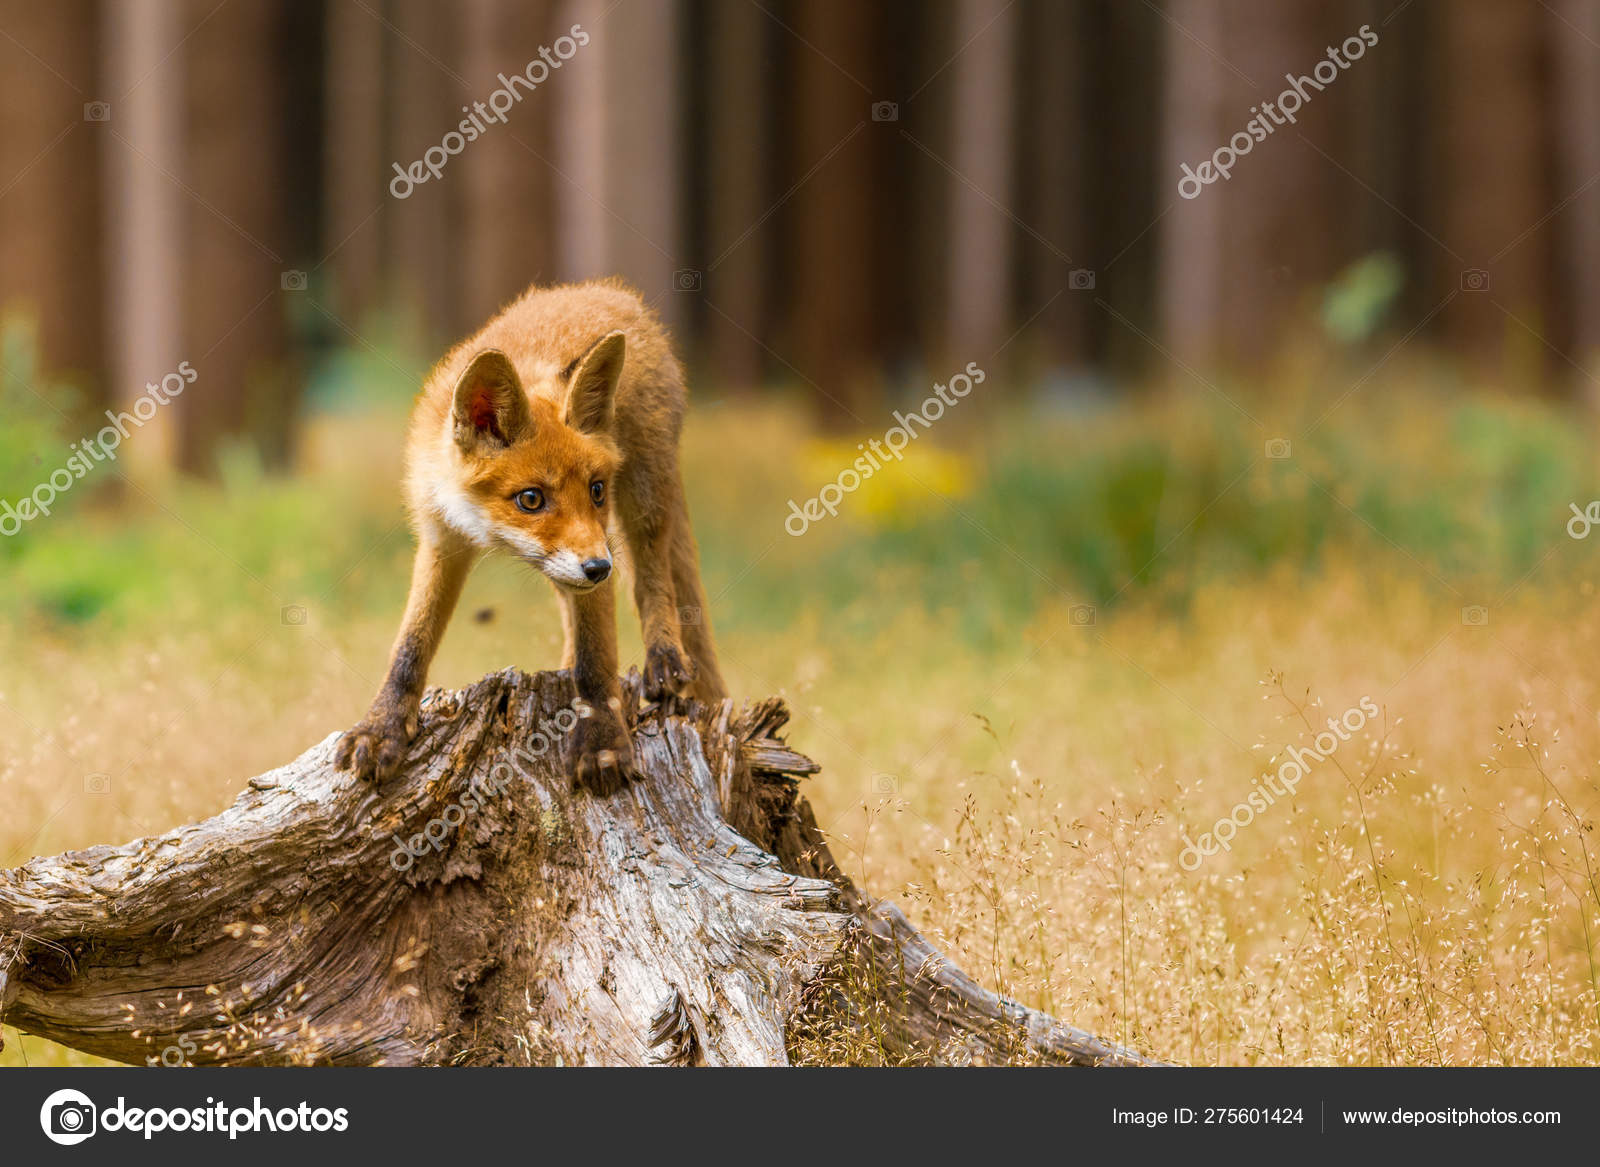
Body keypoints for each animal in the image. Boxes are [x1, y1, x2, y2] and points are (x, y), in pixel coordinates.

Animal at [336, 278, 726, 795]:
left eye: (597, 490)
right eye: (531, 499)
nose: (600, 569)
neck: (477, 522)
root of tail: (603, 290)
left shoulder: (597, 542)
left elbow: (596, 659)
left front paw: (602, 743)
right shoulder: (441, 539)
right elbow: (410, 646)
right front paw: (381, 728)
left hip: (643, 498)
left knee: (652, 579)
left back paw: (664, 657)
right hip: (568, 558)